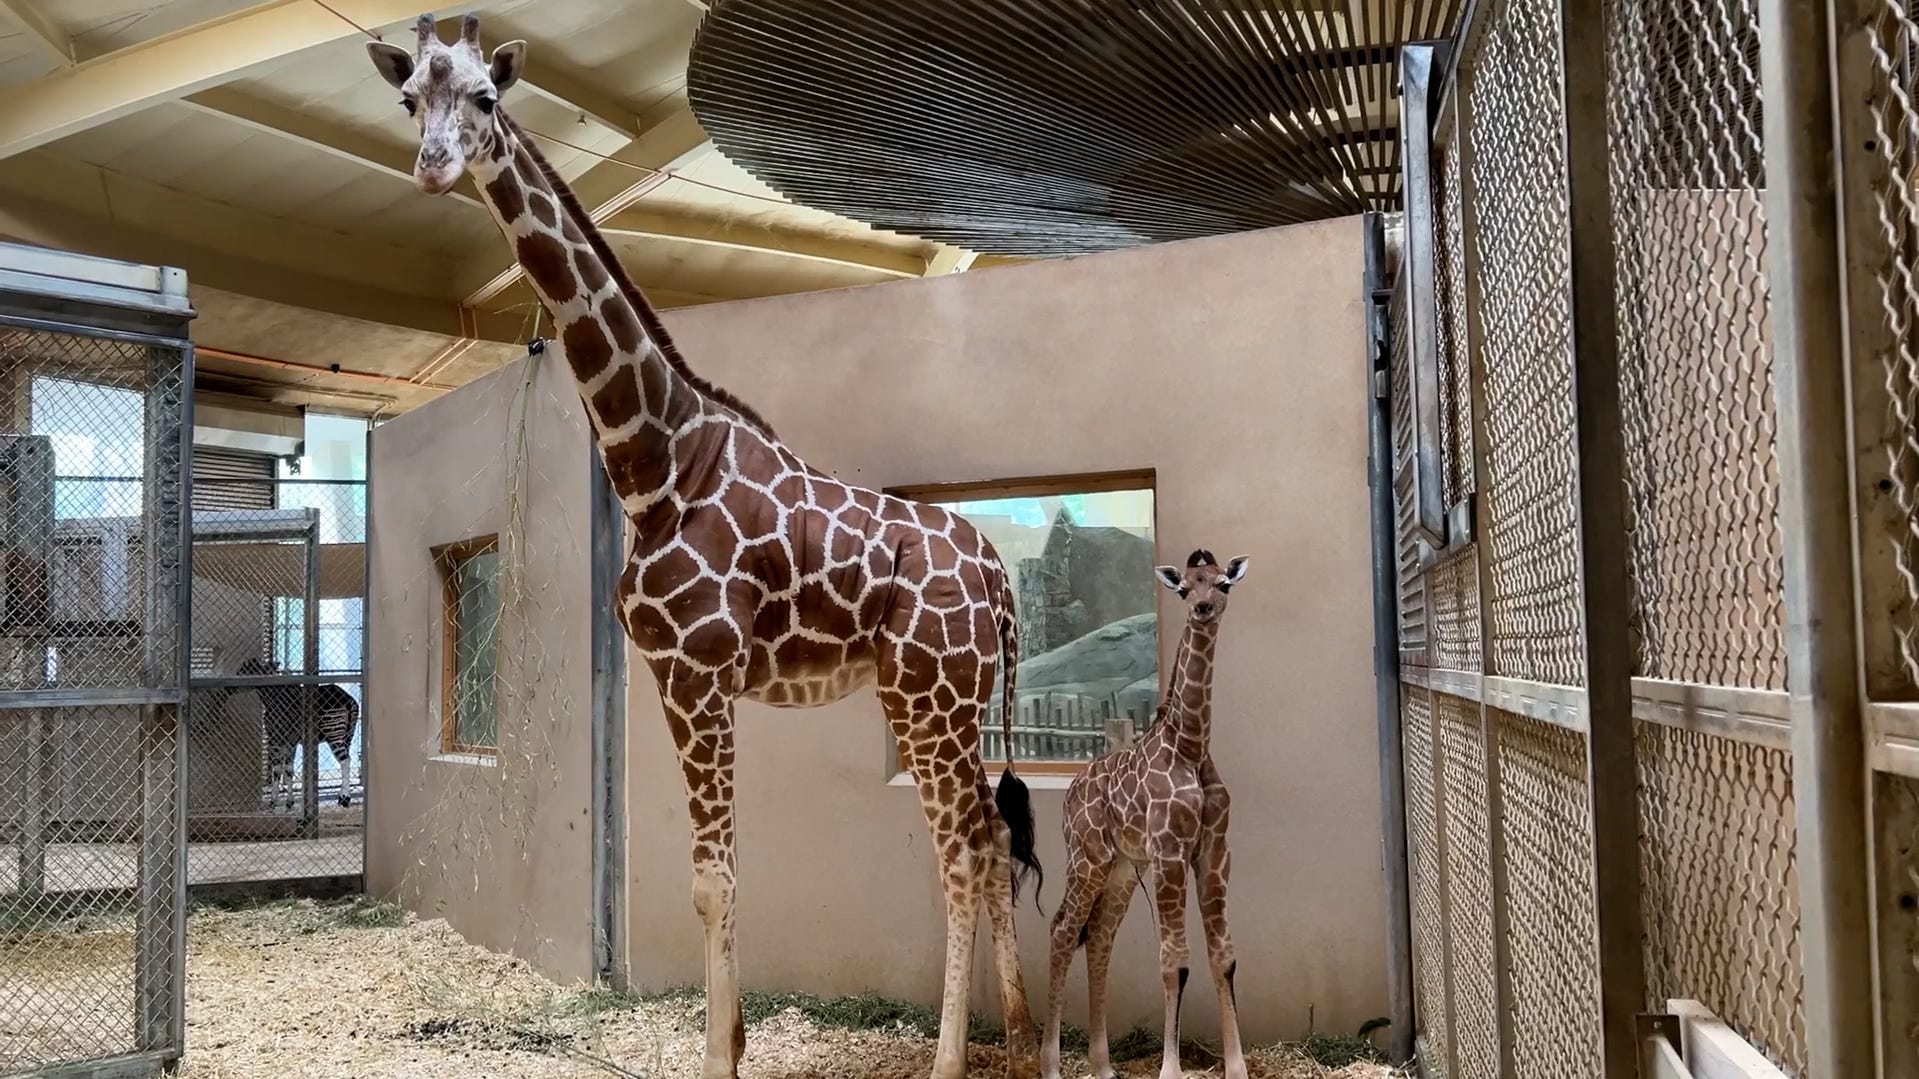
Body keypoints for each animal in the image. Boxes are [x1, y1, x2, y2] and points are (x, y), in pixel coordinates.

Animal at [365, 17, 1042, 1079]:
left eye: (484, 95)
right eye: (409, 100)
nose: (434, 164)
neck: (657, 460)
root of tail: (997, 575)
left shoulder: (700, 671)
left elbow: (716, 880)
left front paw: (723, 1051)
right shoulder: (672, 678)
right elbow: (708, 877)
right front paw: (726, 1040)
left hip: (933, 694)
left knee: (960, 848)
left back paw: (948, 1057)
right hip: (937, 695)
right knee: (987, 831)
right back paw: (1013, 1036)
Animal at [1040, 549, 1251, 1079]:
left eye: (1223, 583)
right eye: (1185, 588)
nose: (1202, 609)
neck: (1191, 745)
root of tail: (1070, 793)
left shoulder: (1214, 850)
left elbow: (1224, 955)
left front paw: (1237, 1067)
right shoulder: (1170, 851)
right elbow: (1175, 959)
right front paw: (1170, 1069)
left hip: (1120, 869)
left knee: (1099, 939)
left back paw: (1102, 1066)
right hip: (1087, 859)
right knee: (1062, 930)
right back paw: (1050, 1065)